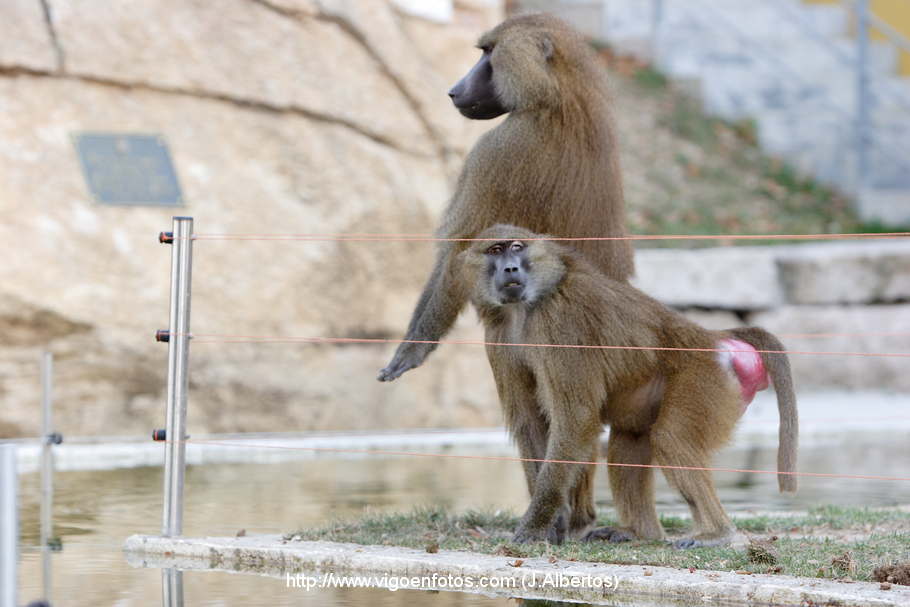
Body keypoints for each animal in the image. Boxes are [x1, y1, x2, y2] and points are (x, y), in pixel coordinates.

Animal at [377, 13, 630, 539]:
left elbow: (455, 253)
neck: (558, 96)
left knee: (532, 417)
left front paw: (412, 351)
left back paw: (557, 519)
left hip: (521, 342)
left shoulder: (495, 149)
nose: (454, 91)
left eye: (488, 54)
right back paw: (579, 521)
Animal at [459, 224, 798, 547]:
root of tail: (709, 337)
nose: (510, 269)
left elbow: (574, 420)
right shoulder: (499, 336)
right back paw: (641, 533)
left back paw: (717, 533)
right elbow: (530, 423)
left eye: (517, 247)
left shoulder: (560, 323)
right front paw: (556, 520)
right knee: (629, 437)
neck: (527, 308)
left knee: (671, 439)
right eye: (495, 250)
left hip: (701, 376)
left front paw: (533, 527)